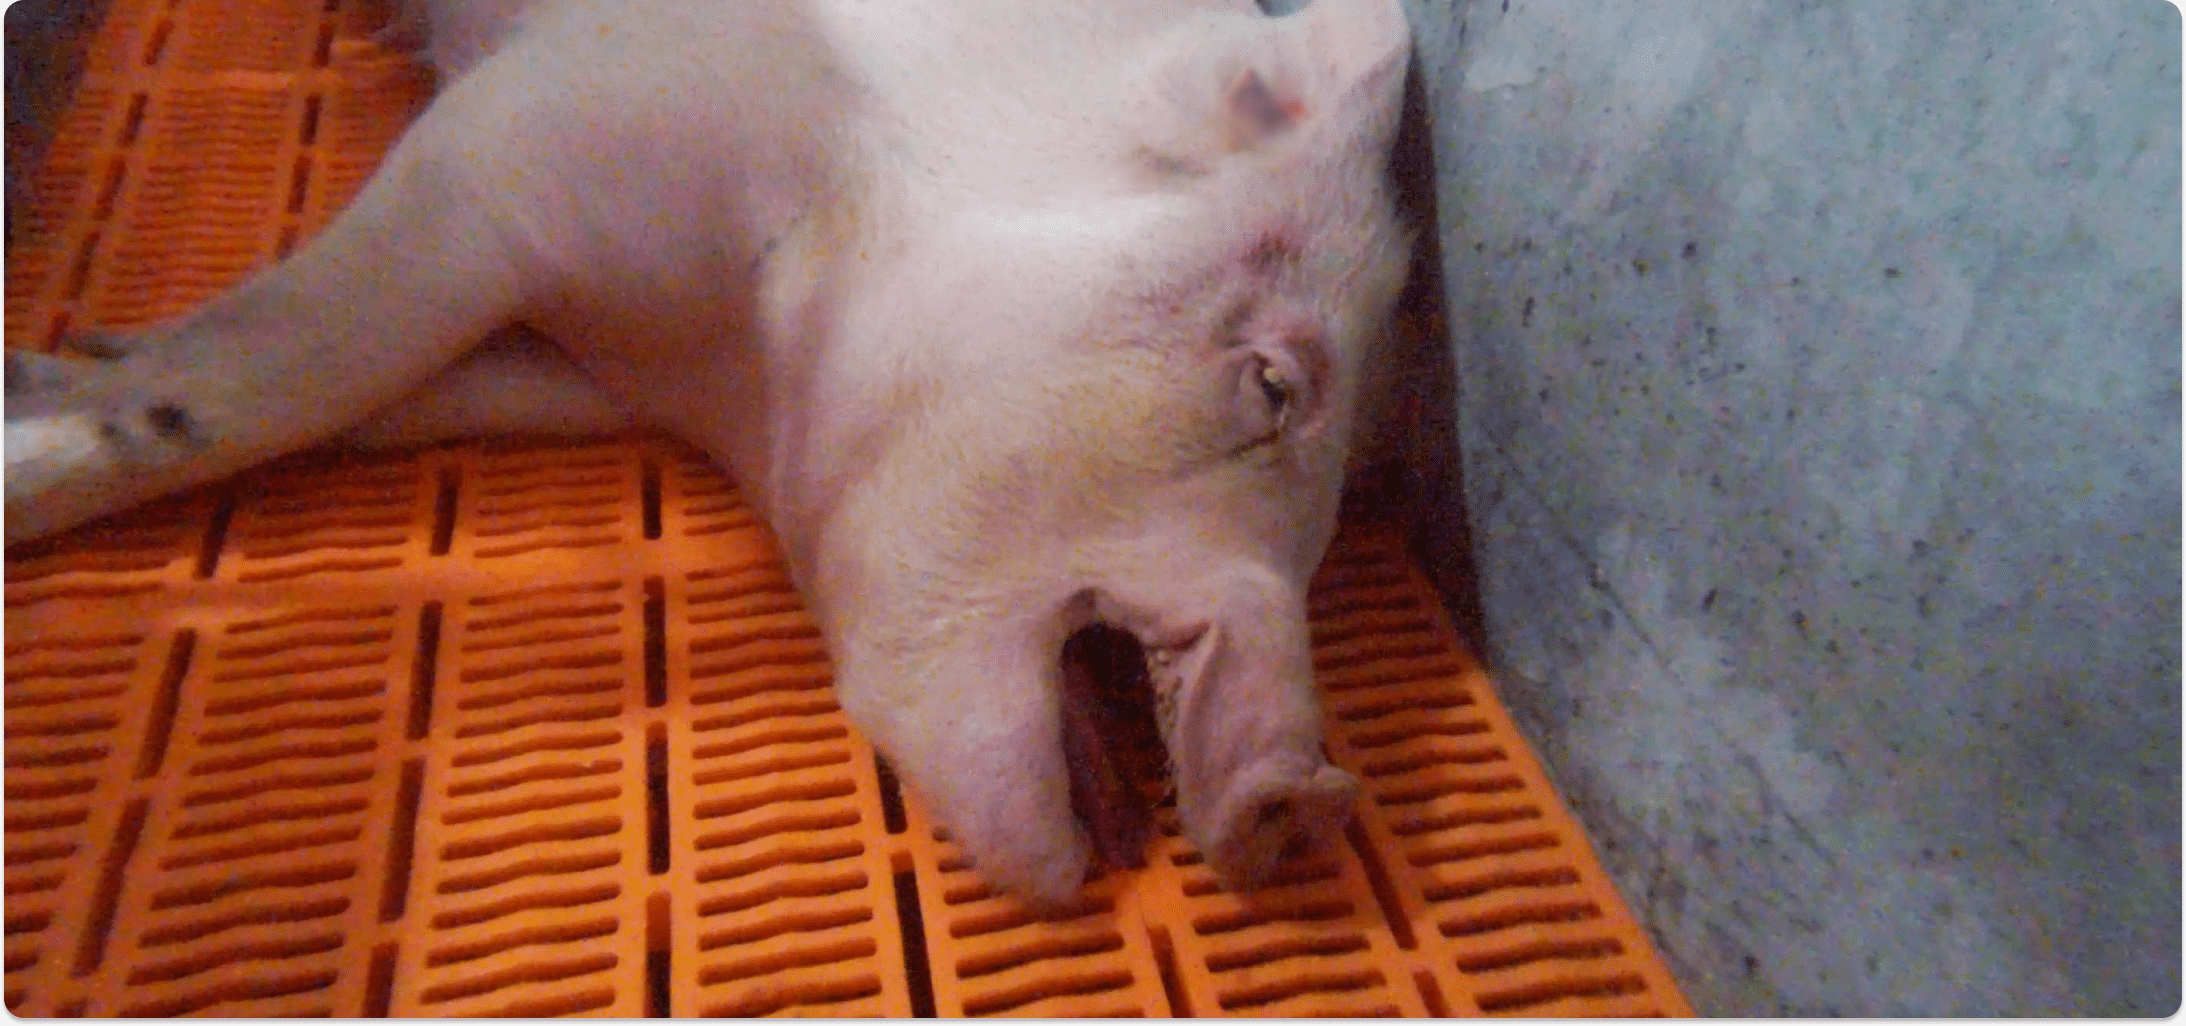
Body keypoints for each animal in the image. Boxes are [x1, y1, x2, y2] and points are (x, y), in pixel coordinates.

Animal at [3, 0, 1416, 908]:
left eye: (1352, 491)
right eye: (1275, 381)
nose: (1316, 793)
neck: (733, 355)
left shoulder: (582, 373)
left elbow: (381, 396)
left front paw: (74, 359)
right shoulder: (514, 135)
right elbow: (294, 359)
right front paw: (47, 429)